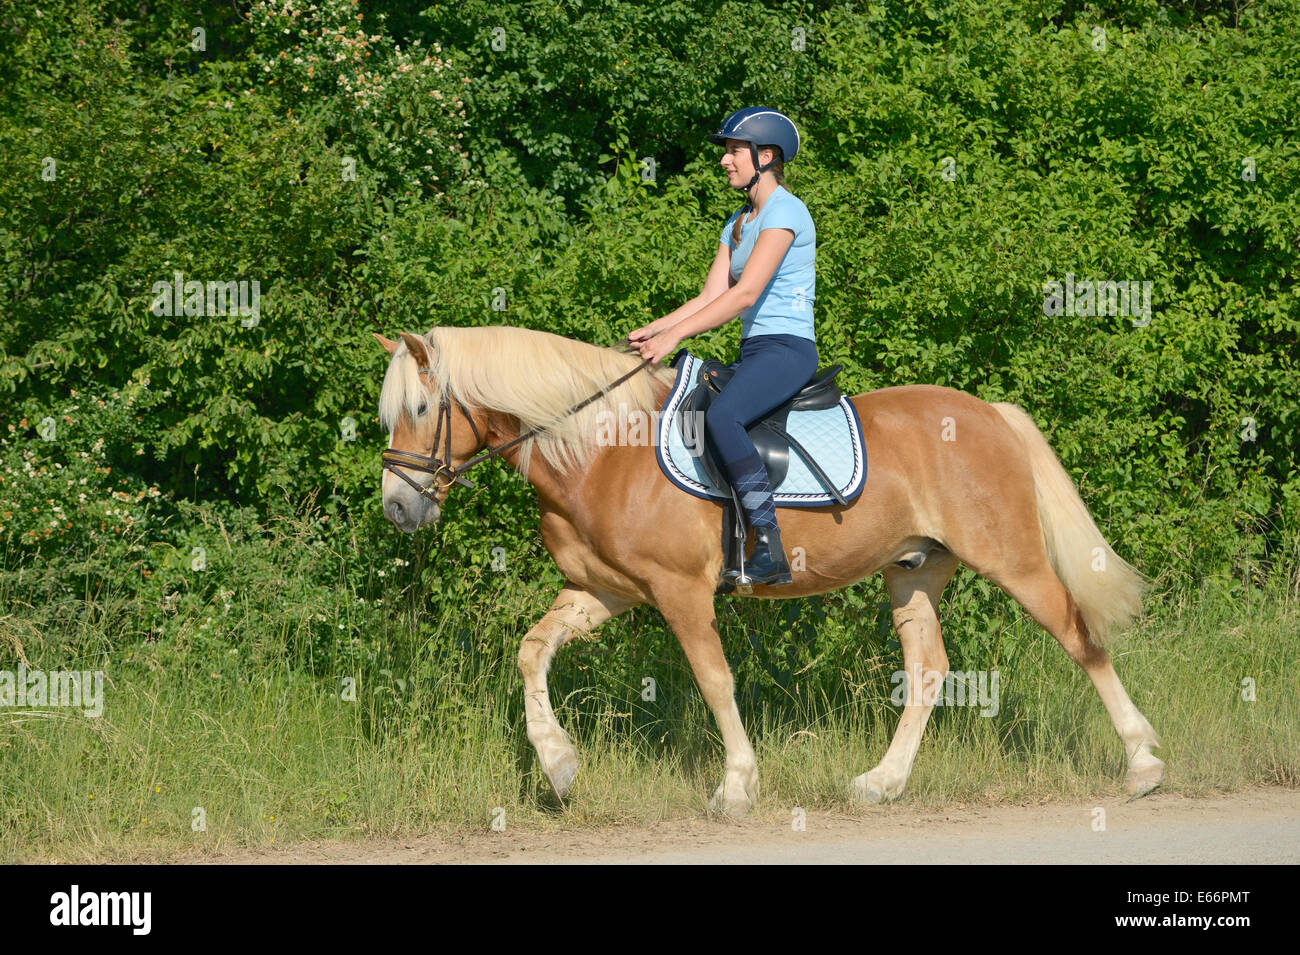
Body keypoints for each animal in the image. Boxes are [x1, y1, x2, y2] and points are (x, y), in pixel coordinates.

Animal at [374, 325, 1164, 816]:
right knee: (929, 669)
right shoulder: (603, 590)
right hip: (912, 571)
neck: (600, 449)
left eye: (422, 406)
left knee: (1079, 636)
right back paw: (882, 782)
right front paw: (560, 767)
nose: (397, 507)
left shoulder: (680, 592)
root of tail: (991, 414)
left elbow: (714, 679)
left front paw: (737, 787)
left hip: (1012, 558)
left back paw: (1142, 765)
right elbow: (533, 649)